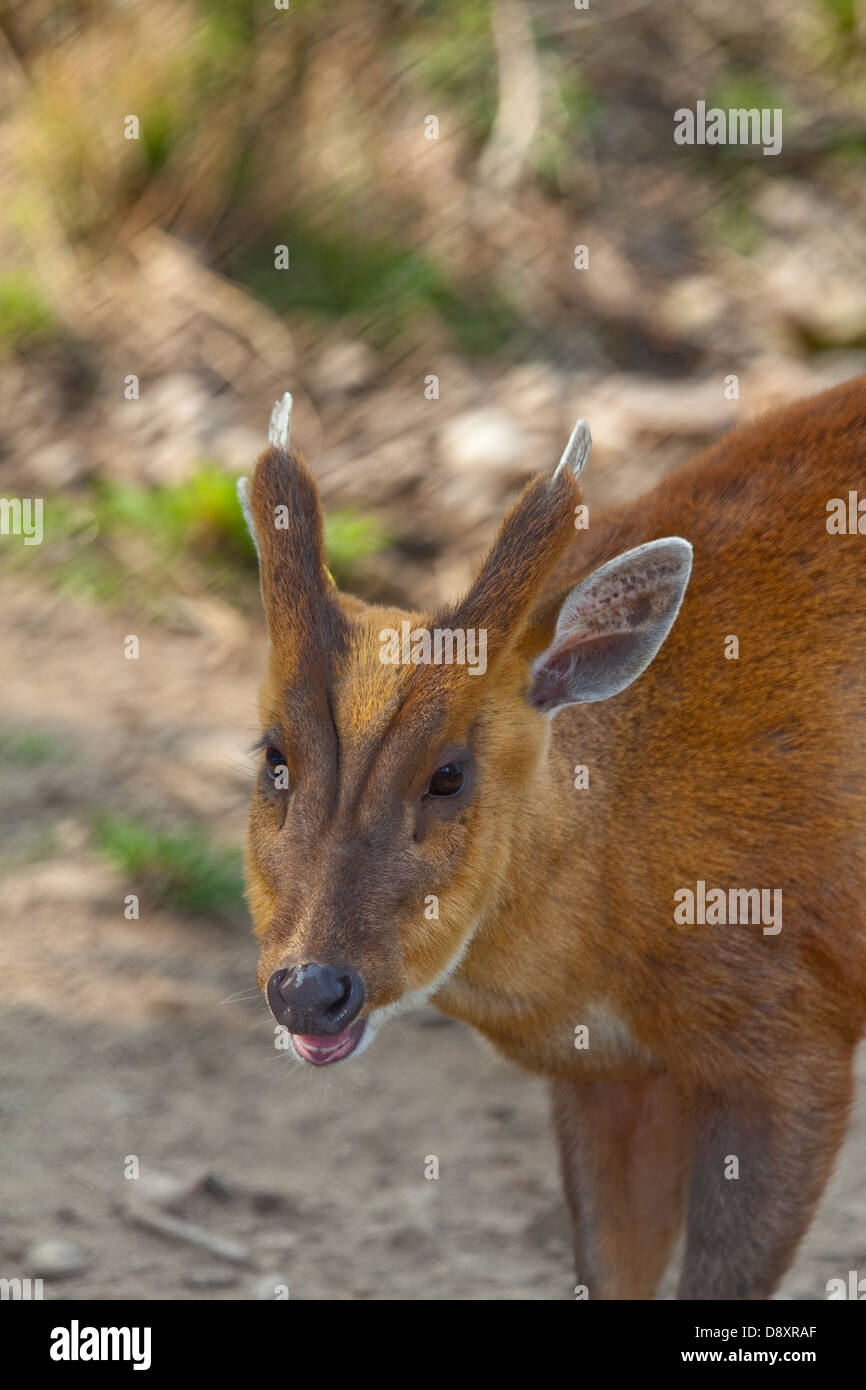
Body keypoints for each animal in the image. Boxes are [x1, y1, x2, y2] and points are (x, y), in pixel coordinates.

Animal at [237, 376, 866, 1300]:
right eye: (274, 756)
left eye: (450, 773)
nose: (309, 991)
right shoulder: (607, 1074)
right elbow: (608, 1268)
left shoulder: (796, 1034)